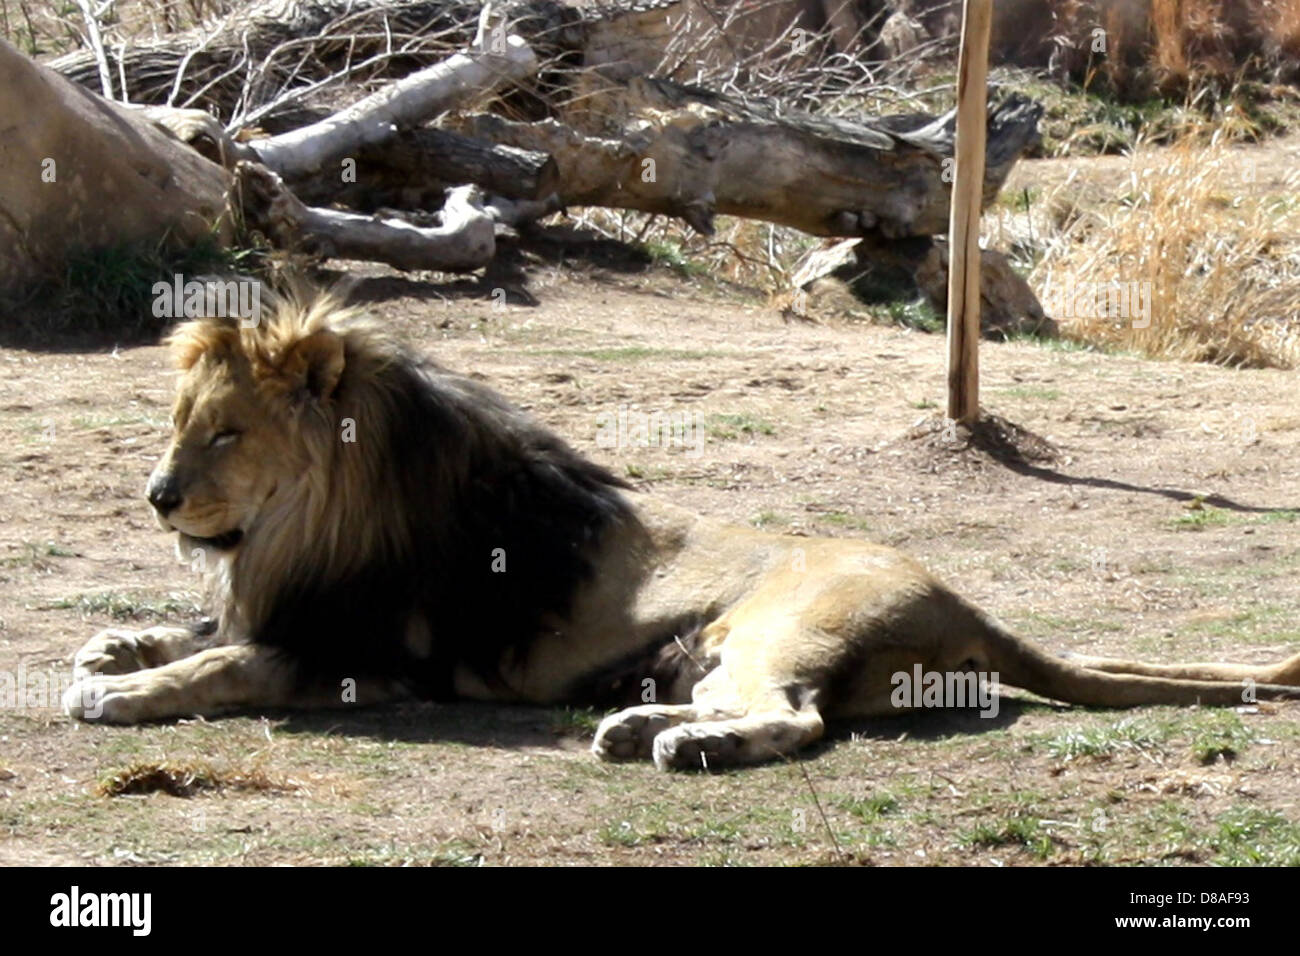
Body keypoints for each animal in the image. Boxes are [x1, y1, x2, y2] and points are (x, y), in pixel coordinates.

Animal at [63, 290, 1300, 770]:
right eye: (176, 425)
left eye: (224, 434)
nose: (156, 495)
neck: (301, 524)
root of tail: (964, 597)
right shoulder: (279, 600)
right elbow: (194, 629)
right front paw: (112, 648)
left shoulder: (359, 653)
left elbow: (222, 663)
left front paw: (121, 692)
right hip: (708, 648)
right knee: (750, 705)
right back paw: (635, 725)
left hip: (774, 627)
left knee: (795, 719)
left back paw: (679, 745)